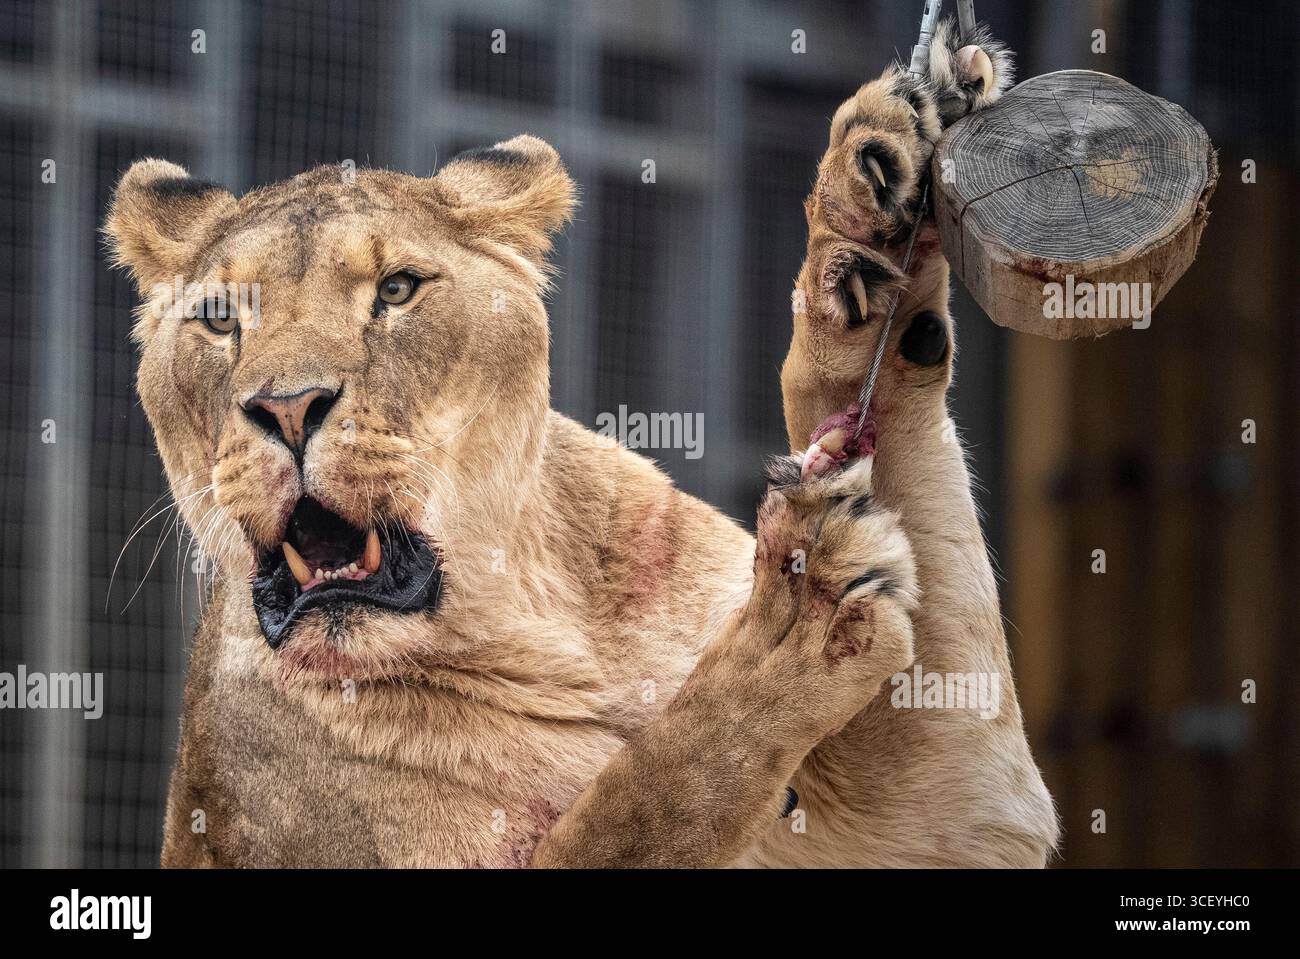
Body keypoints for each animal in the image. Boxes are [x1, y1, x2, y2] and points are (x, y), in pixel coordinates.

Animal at [104, 19, 1057, 867]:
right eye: (221, 318)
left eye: (398, 289)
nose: (290, 406)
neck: (534, 608)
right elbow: (655, 791)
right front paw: (794, 603)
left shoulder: (931, 816)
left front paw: (871, 209)